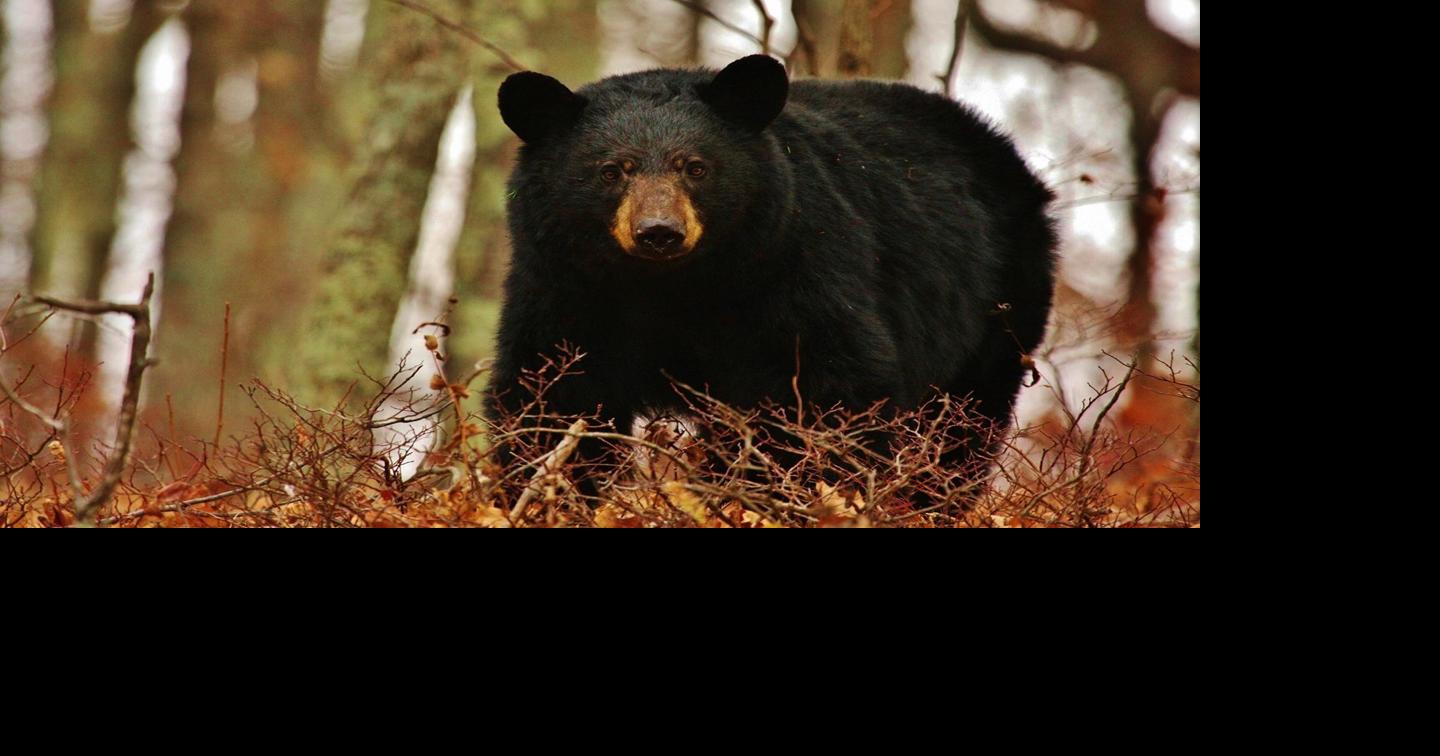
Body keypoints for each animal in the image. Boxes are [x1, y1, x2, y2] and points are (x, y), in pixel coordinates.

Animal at [488, 55, 1057, 485]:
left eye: (696, 167)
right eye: (612, 171)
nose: (659, 232)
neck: (671, 287)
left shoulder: (793, 269)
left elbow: (826, 391)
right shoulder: (566, 288)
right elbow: (551, 396)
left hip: (997, 307)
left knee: (960, 432)